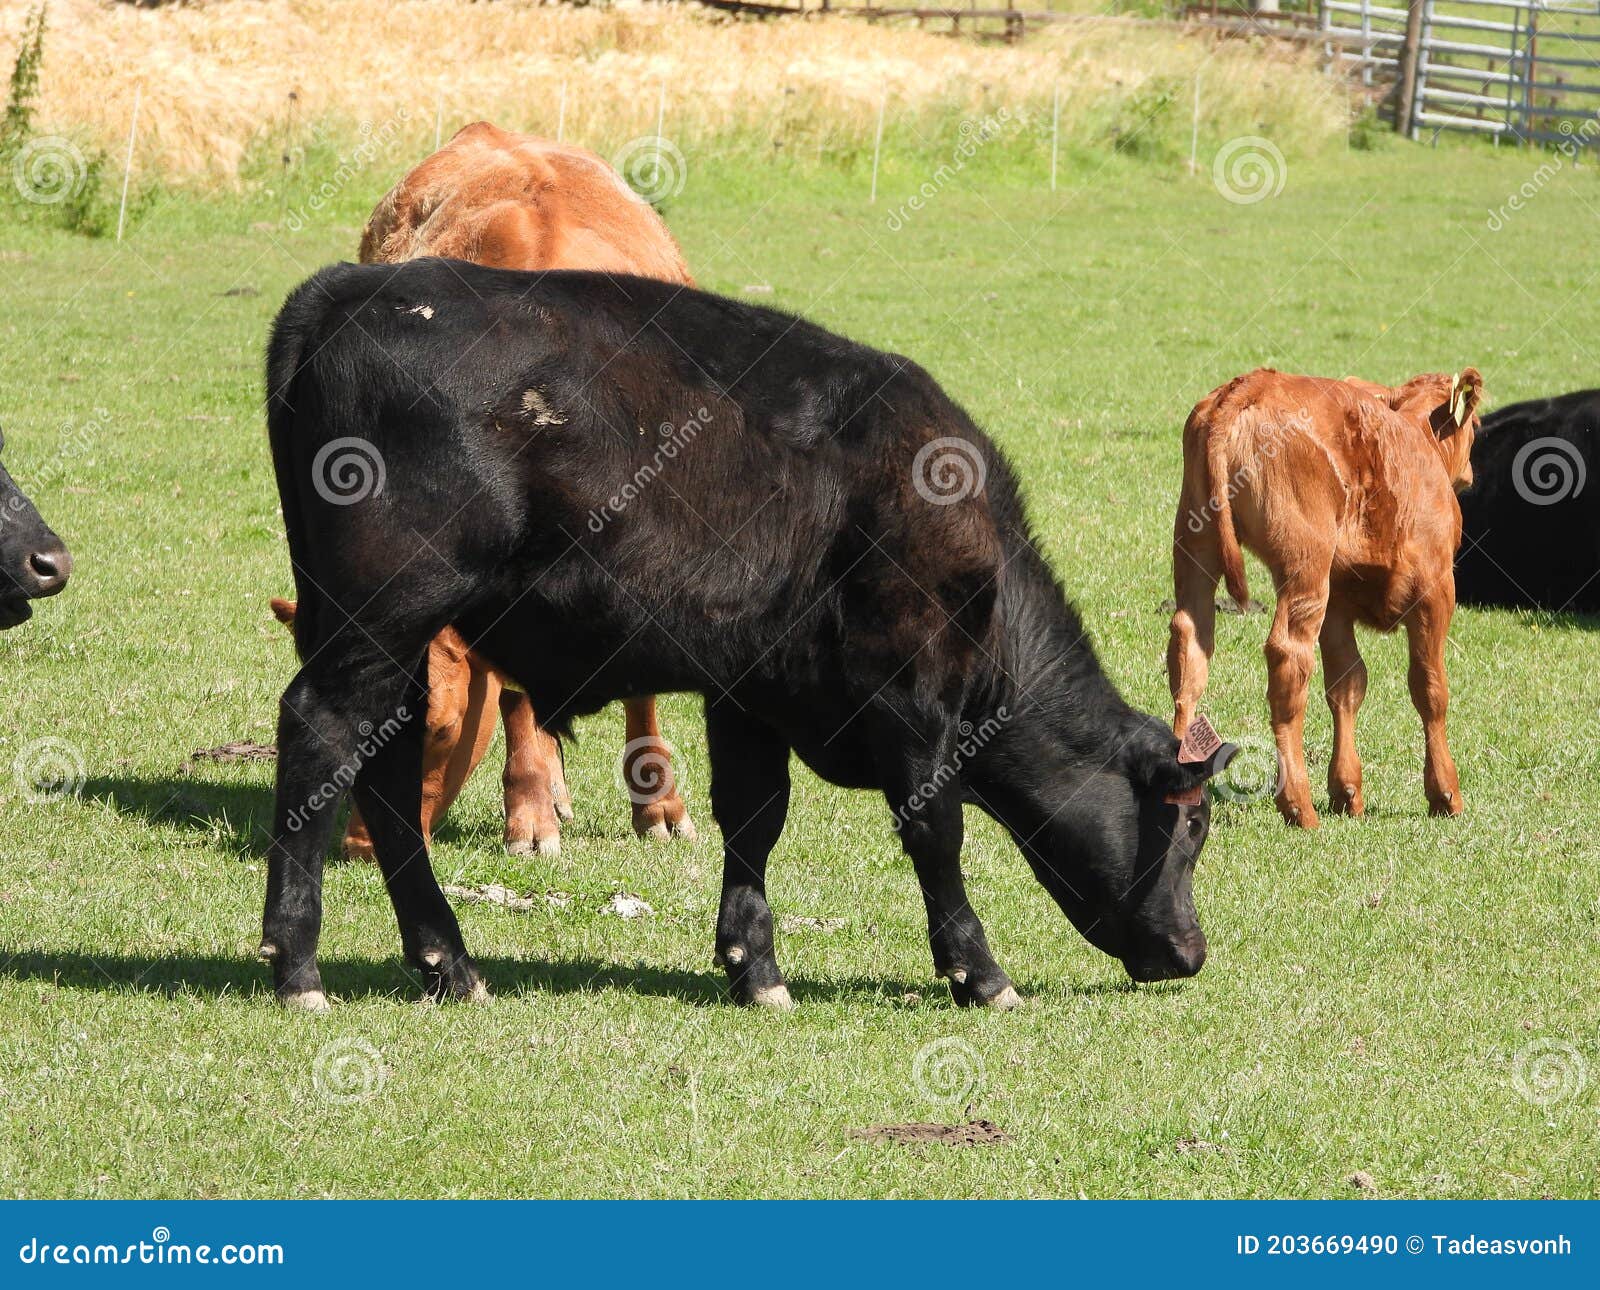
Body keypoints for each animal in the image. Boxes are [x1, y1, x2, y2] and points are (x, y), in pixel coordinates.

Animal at [260, 258, 1237, 1012]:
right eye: (1191, 823)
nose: (1192, 953)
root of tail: (349, 287)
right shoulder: (915, 695)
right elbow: (936, 829)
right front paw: (980, 973)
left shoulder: (752, 689)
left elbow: (754, 818)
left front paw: (754, 967)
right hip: (384, 613)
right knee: (320, 732)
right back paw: (299, 967)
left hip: (386, 636)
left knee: (383, 767)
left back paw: (447, 964)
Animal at [1167, 367, 1483, 830]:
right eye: (1476, 425)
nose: (1471, 472)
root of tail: (1251, 383)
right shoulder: (1436, 591)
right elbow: (1430, 688)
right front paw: (1445, 794)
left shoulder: (1338, 605)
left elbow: (1347, 685)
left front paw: (1347, 791)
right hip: (1305, 567)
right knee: (1288, 659)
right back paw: (1299, 804)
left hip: (1197, 549)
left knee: (1190, 650)